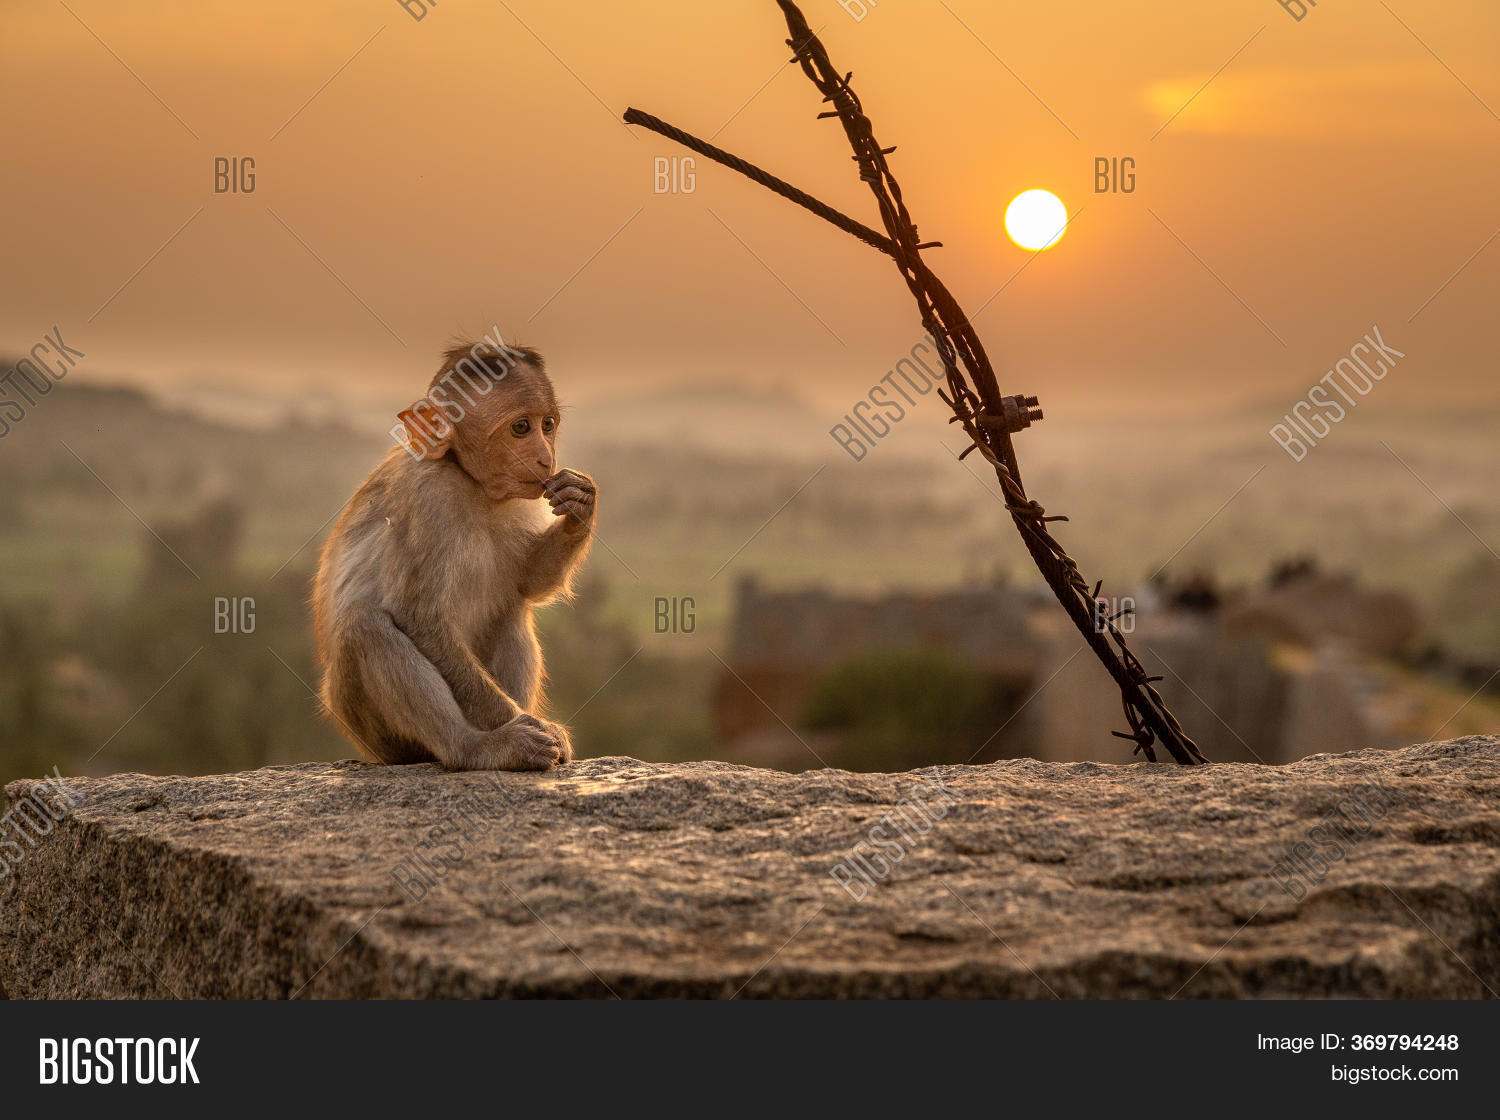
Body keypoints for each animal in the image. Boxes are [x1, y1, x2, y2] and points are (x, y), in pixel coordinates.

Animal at [312, 339, 596, 771]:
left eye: (548, 424)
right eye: (520, 428)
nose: (546, 458)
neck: (468, 480)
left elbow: (528, 581)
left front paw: (580, 504)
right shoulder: (428, 497)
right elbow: (421, 618)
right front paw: (522, 724)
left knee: (511, 612)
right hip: (372, 730)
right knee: (365, 628)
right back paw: (478, 747)